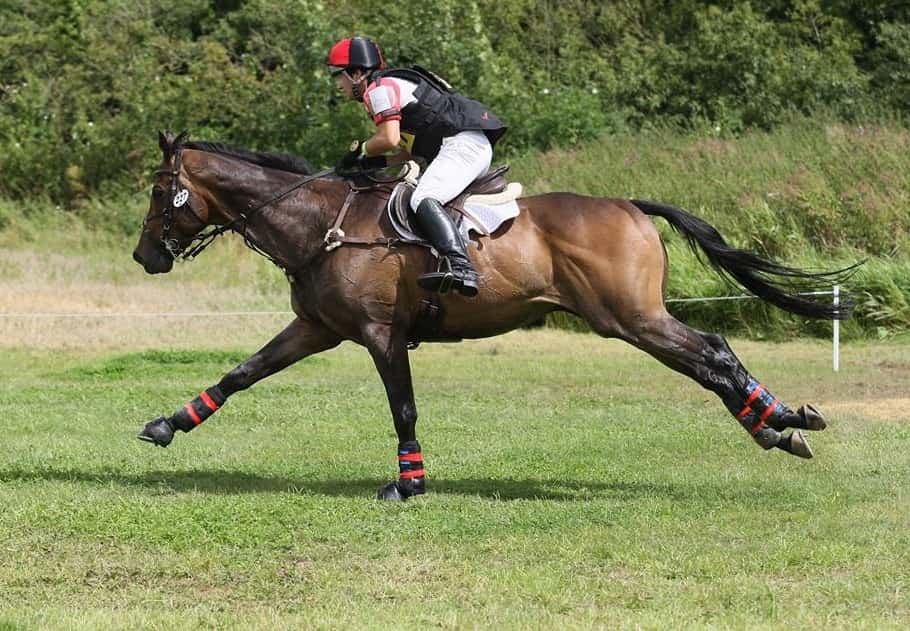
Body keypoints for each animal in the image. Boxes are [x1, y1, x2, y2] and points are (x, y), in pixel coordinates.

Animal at [133, 131, 854, 501]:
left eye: (159, 193)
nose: (144, 255)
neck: (320, 224)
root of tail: (630, 205)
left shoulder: (379, 335)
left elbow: (403, 408)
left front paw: (409, 484)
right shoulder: (318, 328)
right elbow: (242, 373)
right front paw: (169, 424)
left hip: (629, 317)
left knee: (711, 350)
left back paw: (782, 421)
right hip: (633, 318)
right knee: (709, 356)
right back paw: (778, 426)